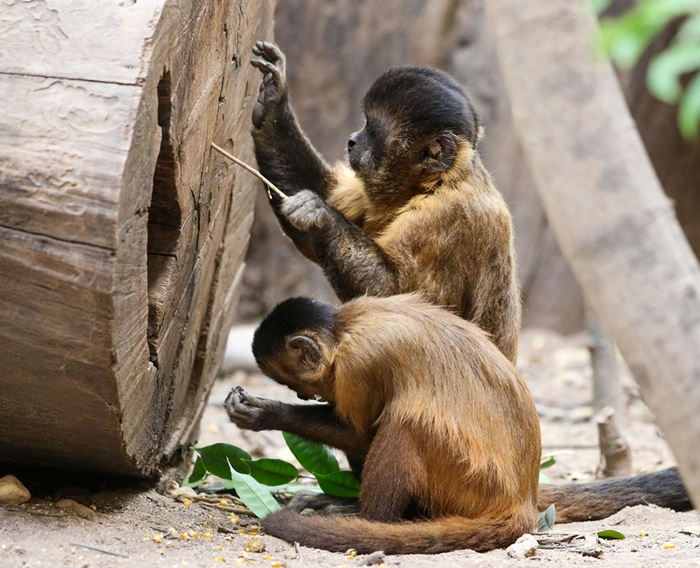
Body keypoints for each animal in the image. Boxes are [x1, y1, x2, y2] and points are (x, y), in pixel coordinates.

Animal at [226, 296, 540, 552]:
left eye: (295, 386)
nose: (304, 396)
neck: (345, 329)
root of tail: (522, 498)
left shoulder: (358, 364)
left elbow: (362, 435)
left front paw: (267, 414)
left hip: (468, 481)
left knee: (404, 422)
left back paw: (367, 518)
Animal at [246, 42, 696, 524]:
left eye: (371, 130)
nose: (351, 139)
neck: (437, 182)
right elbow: (329, 198)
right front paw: (273, 102)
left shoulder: (448, 220)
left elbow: (399, 301)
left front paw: (320, 218)